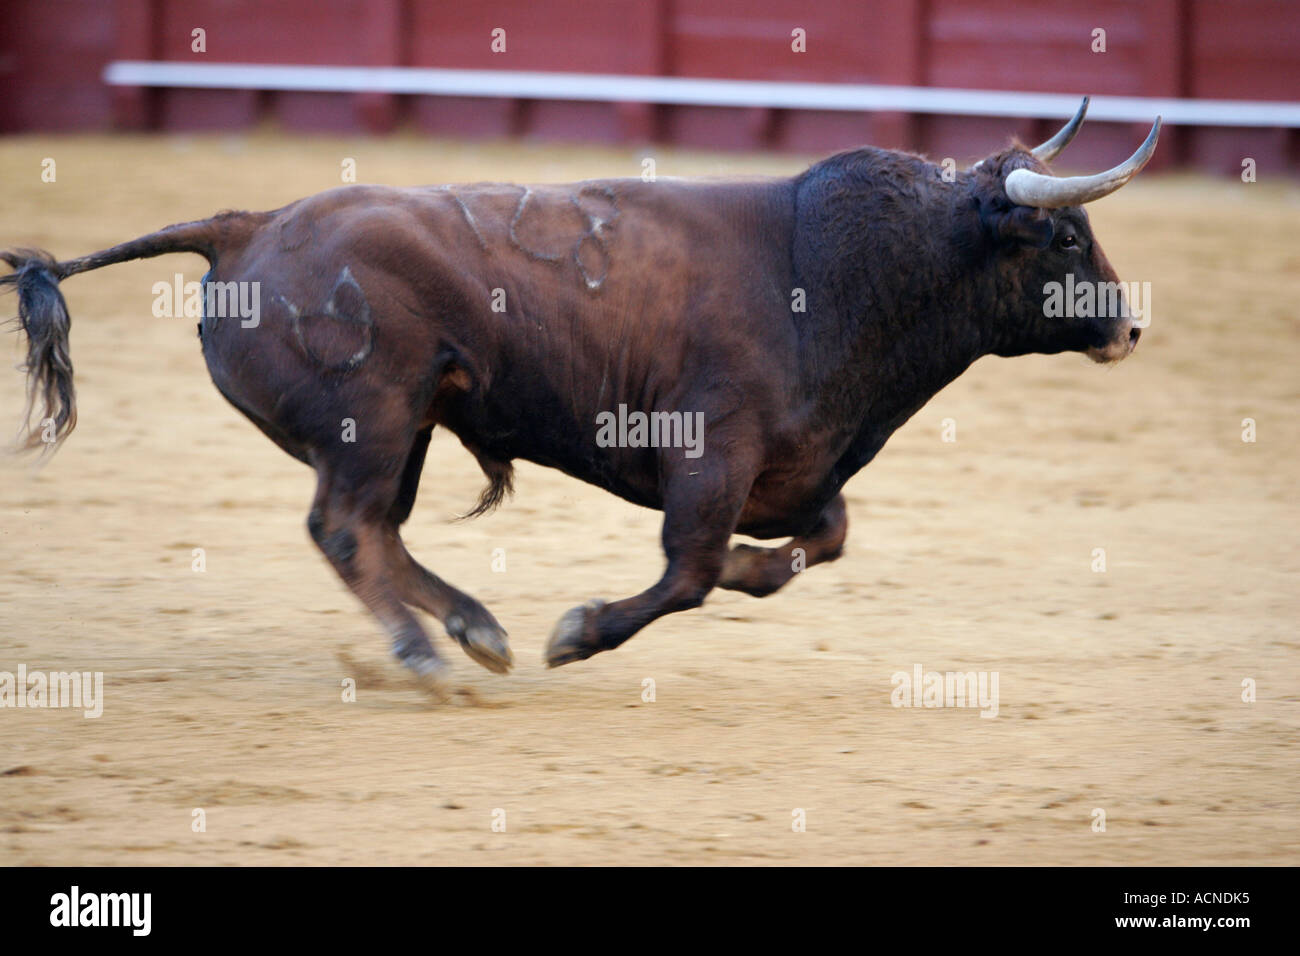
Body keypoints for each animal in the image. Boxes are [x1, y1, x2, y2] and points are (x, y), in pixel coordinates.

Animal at [2, 98, 1159, 694]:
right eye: (1062, 237)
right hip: (371, 420)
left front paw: (747, 573)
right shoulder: (710, 451)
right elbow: (687, 571)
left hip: (407, 429)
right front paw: (580, 628)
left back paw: (473, 629)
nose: (1129, 327)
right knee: (345, 526)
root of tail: (246, 225)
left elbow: (814, 544)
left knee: (376, 530)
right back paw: (430, 649)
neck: (841, 273)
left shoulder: (798, 468)